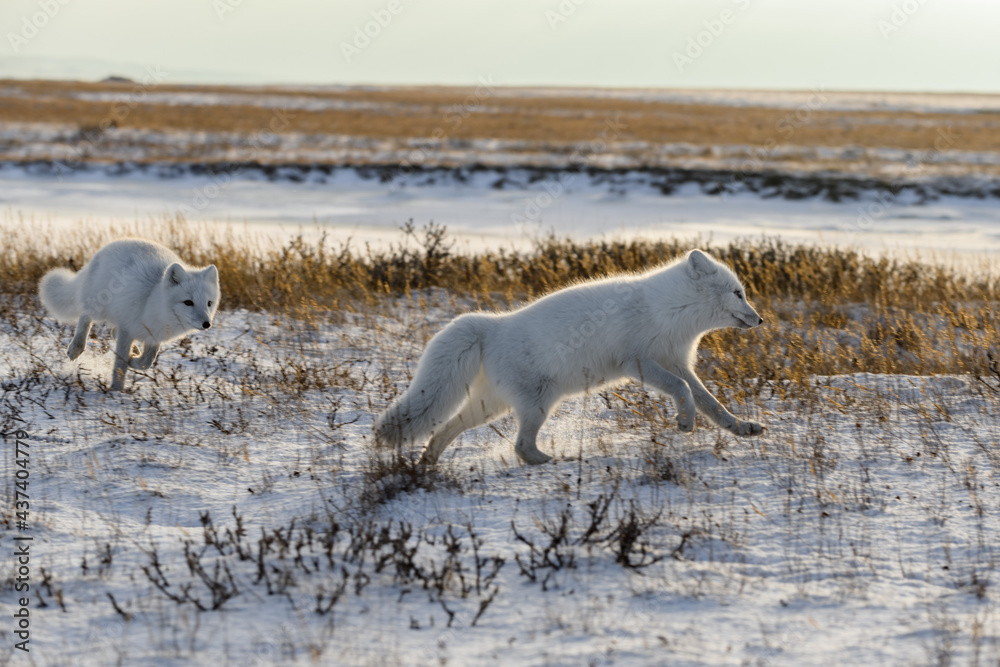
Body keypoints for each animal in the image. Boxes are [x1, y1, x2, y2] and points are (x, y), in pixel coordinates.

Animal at [38, 239, 220, 391]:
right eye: (188, 302)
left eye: (209, 303)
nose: (207, 324)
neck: (153, 300)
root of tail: (104, 250)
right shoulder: (129, 329)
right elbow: (121, 364)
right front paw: (116, 390)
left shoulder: (154, 336)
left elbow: (146, 362)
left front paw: (133, 359)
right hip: (99, 308)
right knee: (85, 317)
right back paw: (76, 347)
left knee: (113, 331)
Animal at [374, 249, 765, 465]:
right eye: (739, 293)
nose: (761, 320)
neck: (670, 310)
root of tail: (492, 326)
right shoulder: (638, 362)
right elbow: (682, 390)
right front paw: (685, 423)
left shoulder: (676, 361)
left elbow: (710, 402)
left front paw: (741, 428)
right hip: (537, 404)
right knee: (520, 447)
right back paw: (551, 462)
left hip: (492, 407)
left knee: (448, 429)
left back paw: (428, 461)